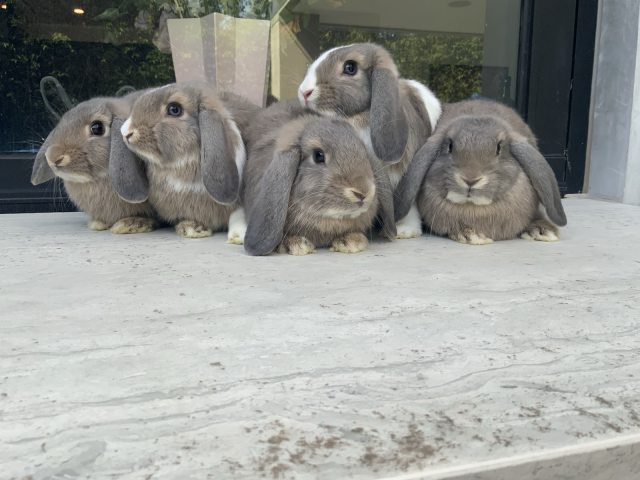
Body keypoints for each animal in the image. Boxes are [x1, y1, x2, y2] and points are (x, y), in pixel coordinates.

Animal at [394, 99, 568, 245]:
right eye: (449, 146)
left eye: (499, 148)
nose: (470, 180)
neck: (474, 208)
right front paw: (471, 235)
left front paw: (543, 231)